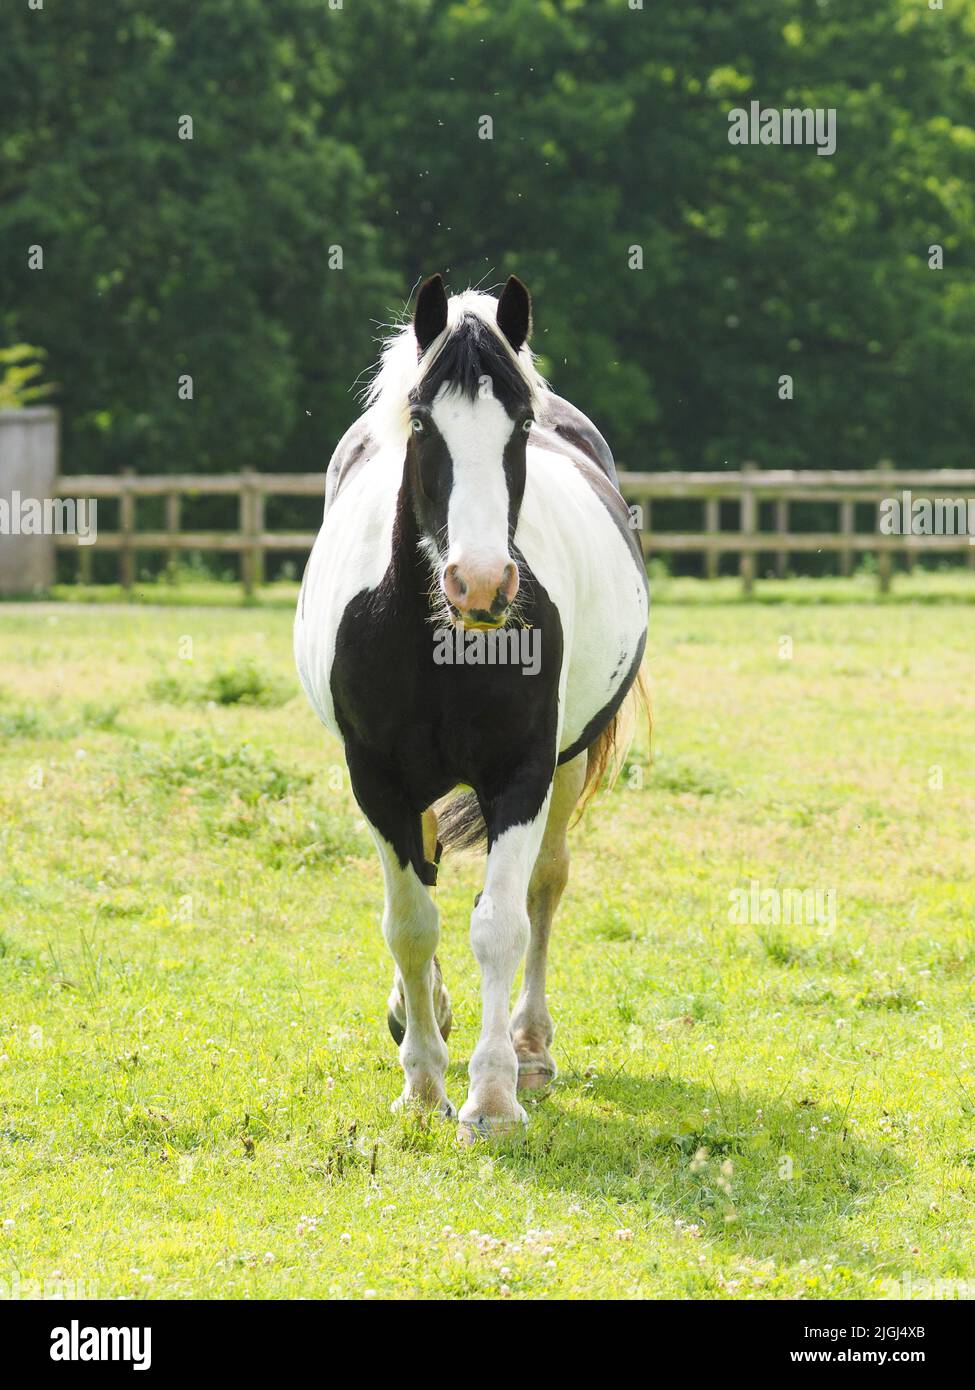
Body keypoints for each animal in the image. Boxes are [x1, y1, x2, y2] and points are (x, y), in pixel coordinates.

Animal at [294, 275, 649, 1138]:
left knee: (544, 886)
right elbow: (410, 923)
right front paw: (422, 1083)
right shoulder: (377, 780)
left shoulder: (520, 772)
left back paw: (530, 1048)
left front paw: (492, 1095)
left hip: (568, 761)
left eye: (517, 424)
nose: (481, 583)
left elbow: (500, 923)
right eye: (423, 421)